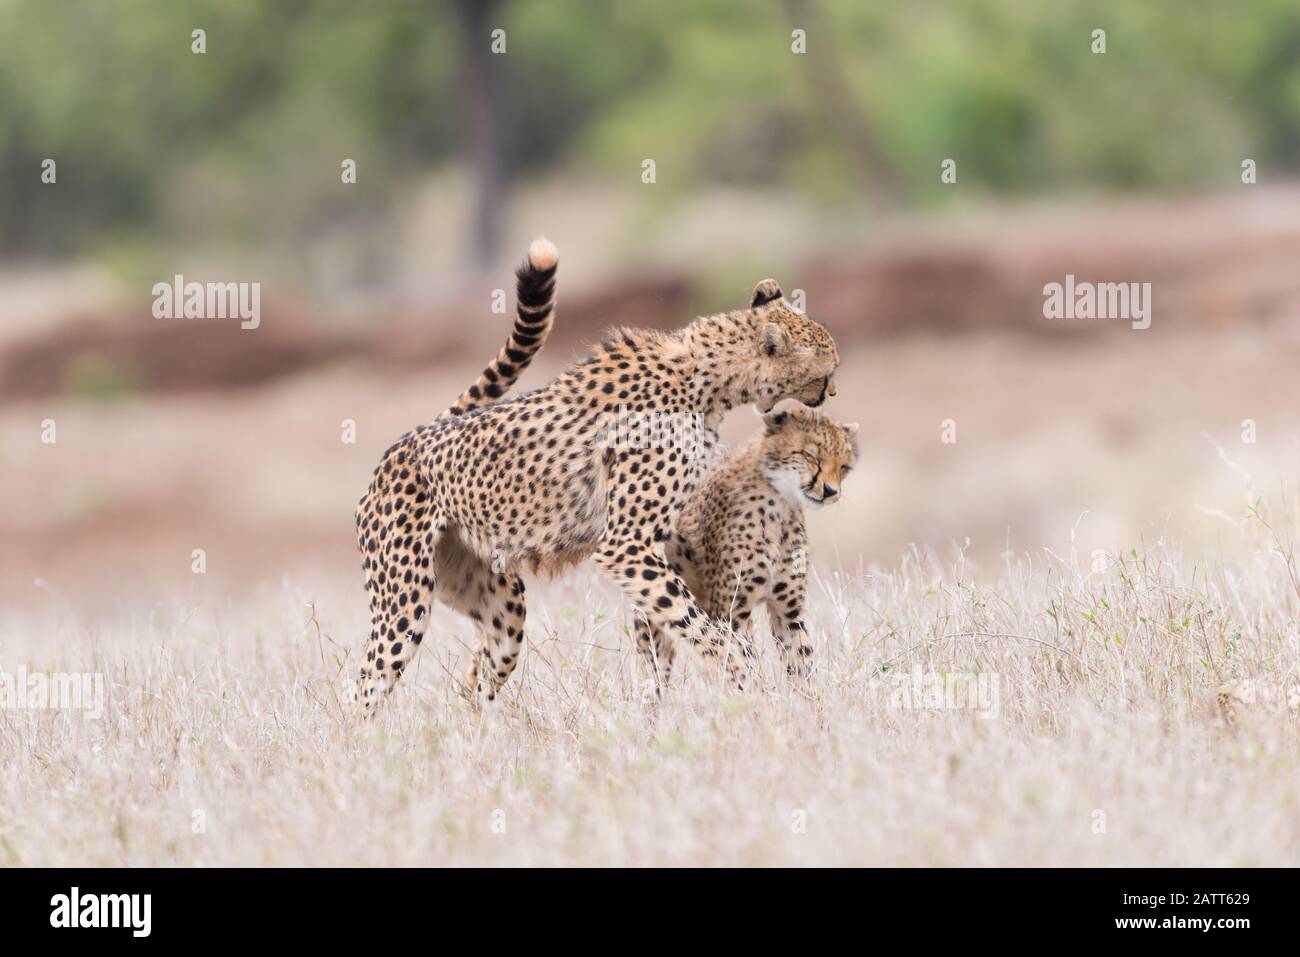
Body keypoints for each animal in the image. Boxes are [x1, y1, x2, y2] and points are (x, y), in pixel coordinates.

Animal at [352, 242, 840, 714]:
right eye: (828, 368)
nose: (833, 391)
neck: (704, 379)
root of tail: (405, 441)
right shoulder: (625, 545)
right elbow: (700, 626)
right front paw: (746, 684)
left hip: (501, 608)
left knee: (477, 679)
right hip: (403, 599)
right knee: (365, 685)